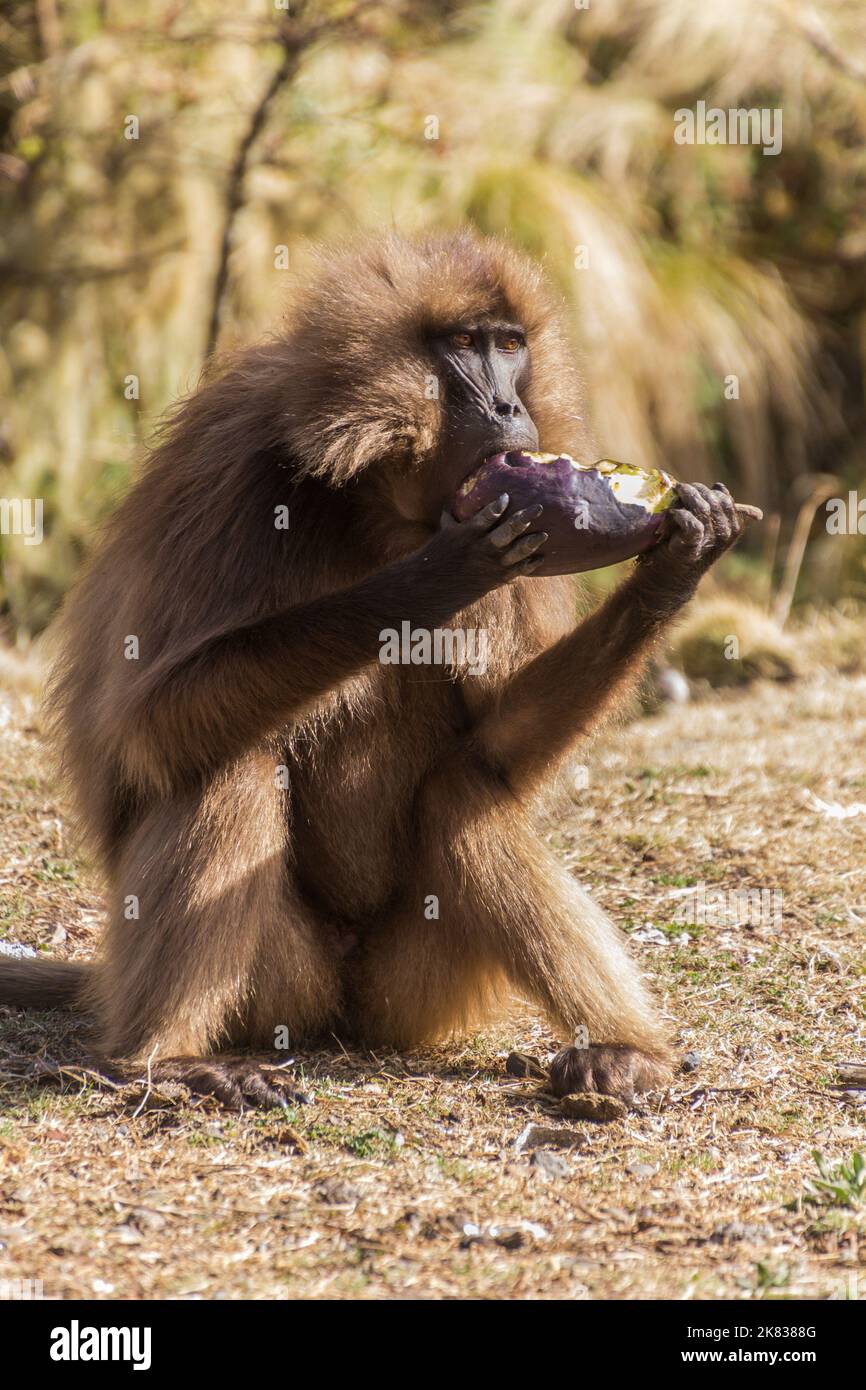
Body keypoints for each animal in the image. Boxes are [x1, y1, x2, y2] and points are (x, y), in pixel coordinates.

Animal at [0, 232, 752, 1108]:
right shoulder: (224, 467)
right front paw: (431, 578)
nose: (511, 408)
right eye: (465, 344)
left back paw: (621, 1051)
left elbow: (499, 748)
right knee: (231, 772)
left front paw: (676, 562)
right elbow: (144, 724)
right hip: (277, 985)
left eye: (511, 345)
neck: (376, 499)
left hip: (416, 991)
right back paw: (169, 1060)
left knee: (463, 796)